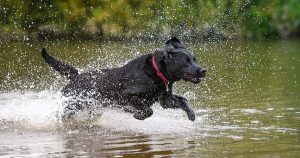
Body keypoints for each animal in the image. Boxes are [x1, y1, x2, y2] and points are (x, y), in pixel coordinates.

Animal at [41, 37, 206, 121]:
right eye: (186, 61)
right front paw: (137, 114)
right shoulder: (127, 95)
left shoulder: (164, 100)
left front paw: (191, 114)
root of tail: (76, 76)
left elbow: (184, 101)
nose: (203, 70)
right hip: (72, 104)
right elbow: (148, 110)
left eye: (194, 59)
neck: (156, 73)